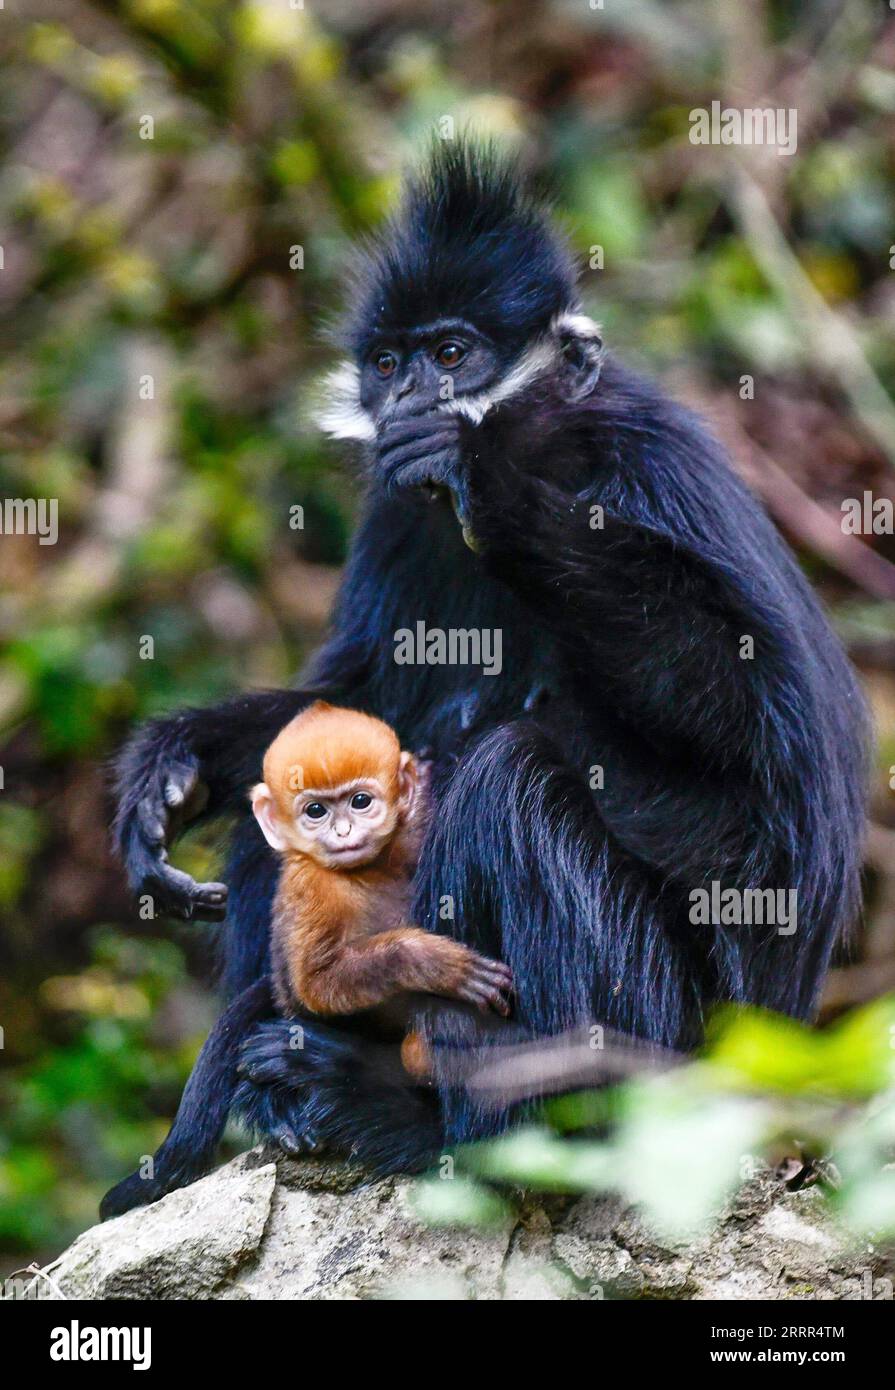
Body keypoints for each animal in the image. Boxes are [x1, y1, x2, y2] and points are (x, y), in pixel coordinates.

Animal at [250, 701, 513, 1076]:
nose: (343, 831)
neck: (367, 870)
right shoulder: (311, 885)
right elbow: (316, 983)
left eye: (360, 801)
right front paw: (433, 962)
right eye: (316, 810)